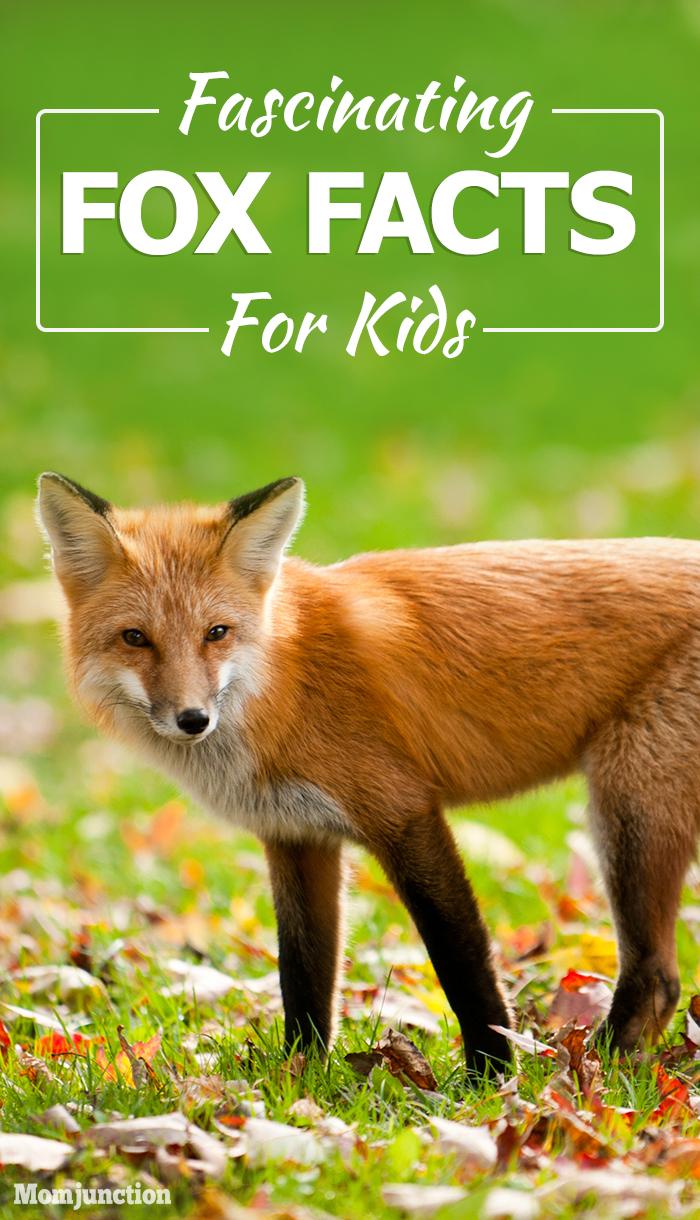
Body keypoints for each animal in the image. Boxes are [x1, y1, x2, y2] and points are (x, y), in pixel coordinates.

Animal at [36, 471, 700, 1074]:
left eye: (215, 633)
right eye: (135, 638)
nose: (192, 719)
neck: (288, 681)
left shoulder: (405, 812)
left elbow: (460, 960)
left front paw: (490, 1075)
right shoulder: (296, 836)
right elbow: (304, 975)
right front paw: (299, 1079)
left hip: (628, 810)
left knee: (657, 977)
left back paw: (589, 1073)